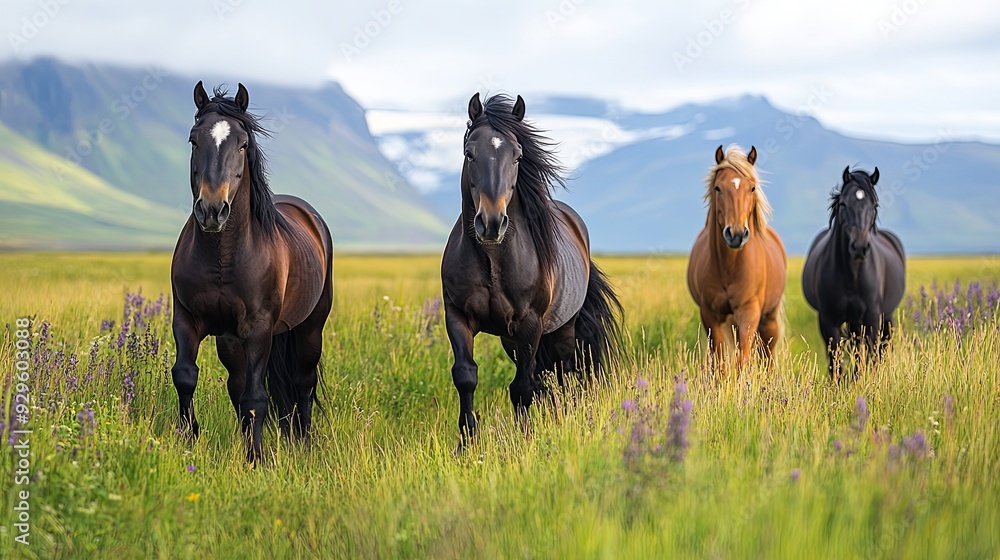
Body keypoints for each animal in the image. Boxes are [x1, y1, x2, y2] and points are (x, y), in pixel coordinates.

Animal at [170, 82, 334, 462]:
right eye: (193, 140)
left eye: (243, 144)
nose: (212, 210)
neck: (222, 256)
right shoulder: (186, 318)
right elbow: (186, 375)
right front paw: (189, 439)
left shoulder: (259, 328)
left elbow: (257, 397)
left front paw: (256, 460)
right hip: (231, 340)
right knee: (238, 383)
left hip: (310, 327)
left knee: (302, 382)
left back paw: (302, 442)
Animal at [441, 93, 623, 445]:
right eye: (470, 152)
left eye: (517, 156)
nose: (491, 223)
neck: (493, 260)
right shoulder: (457, 315)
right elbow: (466, 375)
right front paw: (467, 442)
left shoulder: (529, 323)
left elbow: (523, 387)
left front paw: (525, 439)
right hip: (511, 340)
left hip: (561, 329)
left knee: (563, 372)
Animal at [687, 145, 787, 371]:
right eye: (718, 188)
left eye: (752, 188)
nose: (737, 234)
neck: (729, 267)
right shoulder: (710, 315)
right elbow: (720, 361)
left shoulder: (749, 312)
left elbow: (743, 359)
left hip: (769, 319)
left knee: (767, 355)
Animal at [802, 166, 906, 379]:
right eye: (843, 203)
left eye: (874, 205)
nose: (859, 247)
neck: (852, 276)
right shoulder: (829, 320)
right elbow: (835, 360)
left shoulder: (872, 318)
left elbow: (871, 355)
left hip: (886, 317)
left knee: (881, 348)